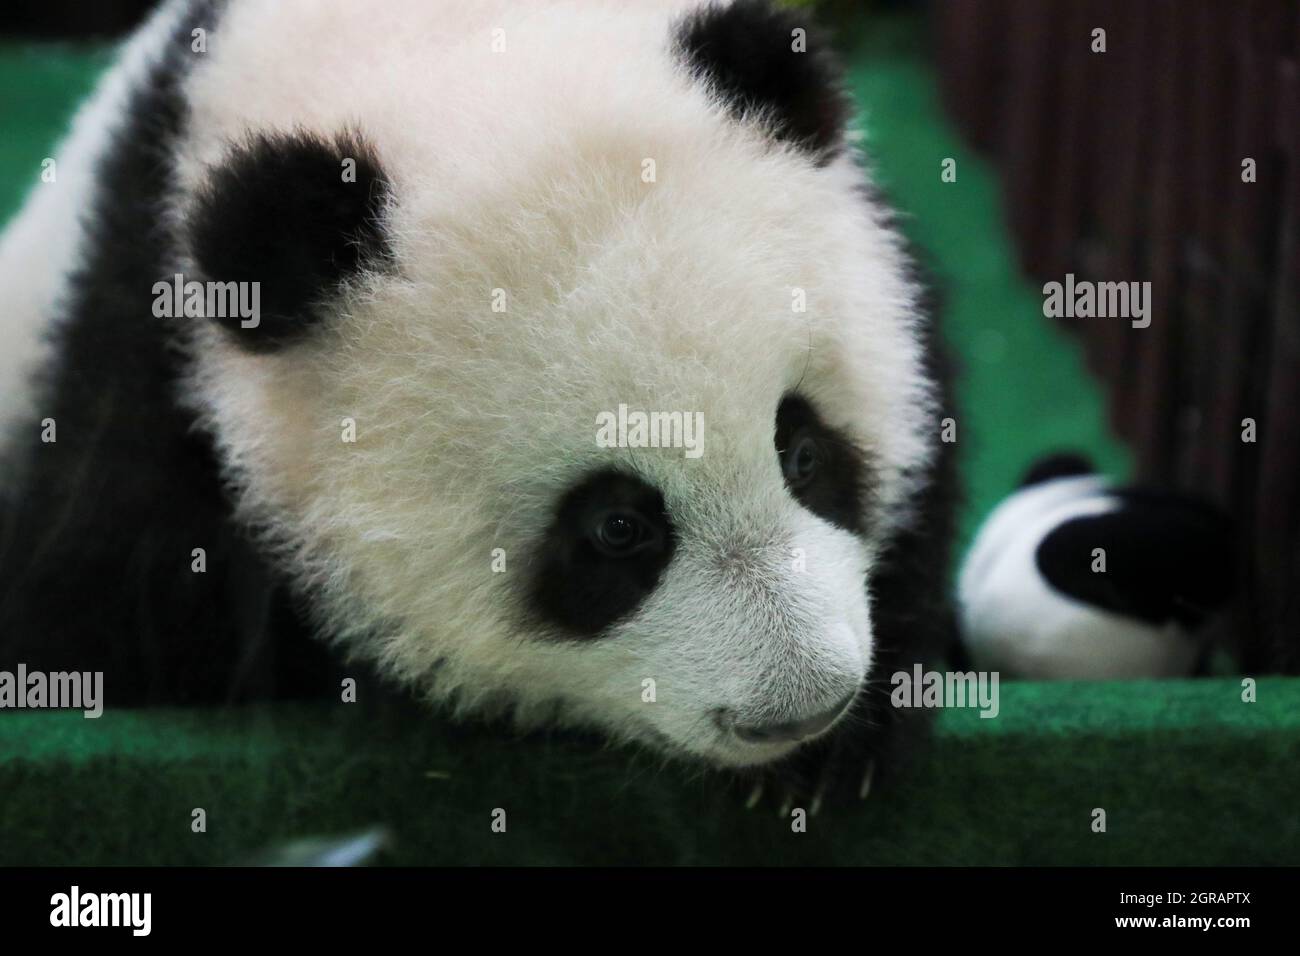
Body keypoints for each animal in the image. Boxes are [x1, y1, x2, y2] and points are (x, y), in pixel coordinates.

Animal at [0, 0, 956, 805]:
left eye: (804, 452)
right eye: (615, 527)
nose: (802, 707)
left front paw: (836, 757)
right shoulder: (149, 383)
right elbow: (95, 617)